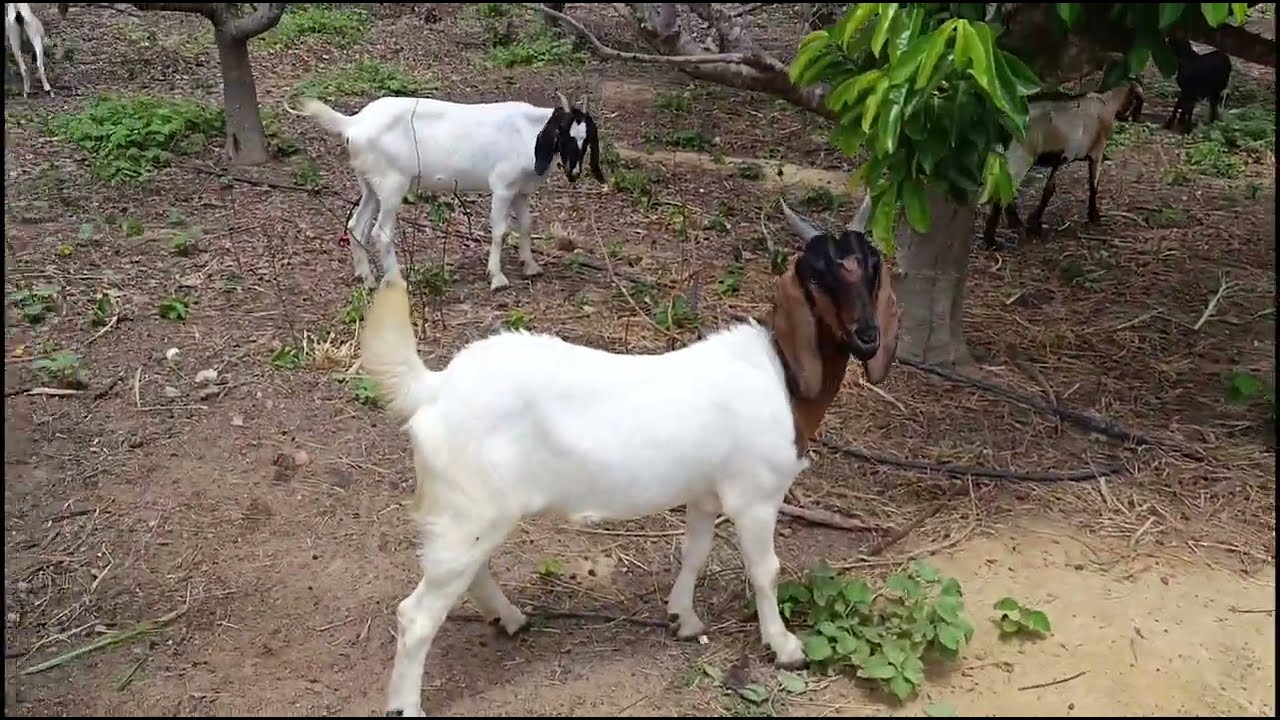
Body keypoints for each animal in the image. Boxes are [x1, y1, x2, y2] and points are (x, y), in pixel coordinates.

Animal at [285, 91, 603, 292]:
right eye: (564, 134)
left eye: (586, 139)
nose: (574, 173)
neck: (527, 133)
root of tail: (353, 123)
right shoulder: (502, 187)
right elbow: (500, 230)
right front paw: (497, 277)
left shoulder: (521, 191)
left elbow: (525, 225)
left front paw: (531, 266)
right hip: (392, 184)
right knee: (381, 232)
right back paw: (396, 280)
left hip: (370, 184)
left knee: (356, 225)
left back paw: (367, 277)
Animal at [360, 200, 901, 717]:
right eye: (816, 275)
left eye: (873, 266)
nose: (868, 336)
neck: (784, 376)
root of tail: (436, 387)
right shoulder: (755, 496)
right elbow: (765, 569)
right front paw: (785, 647)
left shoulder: (705, 493)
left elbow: (695, 551)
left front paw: (684, 618)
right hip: (472, 509)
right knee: (418, 614)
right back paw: (407, 704)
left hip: (472, 512)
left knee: (467, 571)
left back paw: (510, 618)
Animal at [981, 81, 1144, 251]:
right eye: (1137, 100)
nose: (1137, 118)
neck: (1107, 104)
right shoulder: (1096, 153)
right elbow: (1093, 185)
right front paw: (1094, 217)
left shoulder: (1059, 160)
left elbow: (1048, 190)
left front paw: (1035, 224)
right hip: (1020, 157)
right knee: (1004, 190)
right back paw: (1001, 234)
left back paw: (1000, 233)